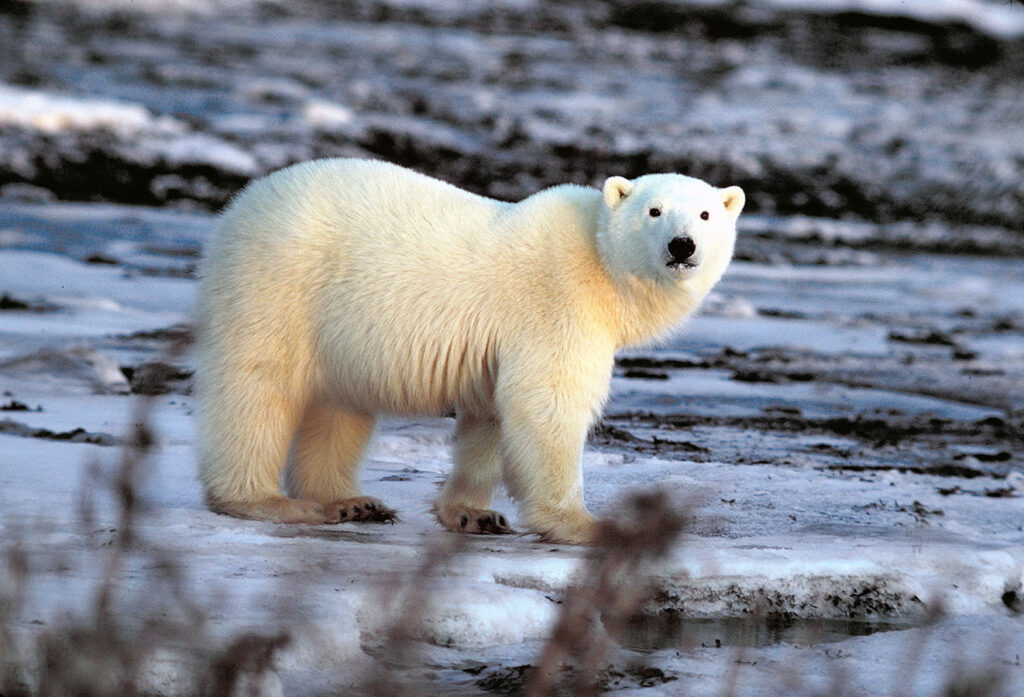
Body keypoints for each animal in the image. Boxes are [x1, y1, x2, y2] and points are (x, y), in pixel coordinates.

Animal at [195, 158, 744, 544]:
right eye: (654, 211)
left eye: (705, 213)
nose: (682, 245)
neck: (599, 265)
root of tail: (242, 203)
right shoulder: (557, 305)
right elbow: (548, 405)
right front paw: (585, 524)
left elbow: (493, 417)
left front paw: (473, 513)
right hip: (279, 283)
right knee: (258, 388)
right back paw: (265, 500)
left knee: (337, 406)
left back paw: (349, 502)